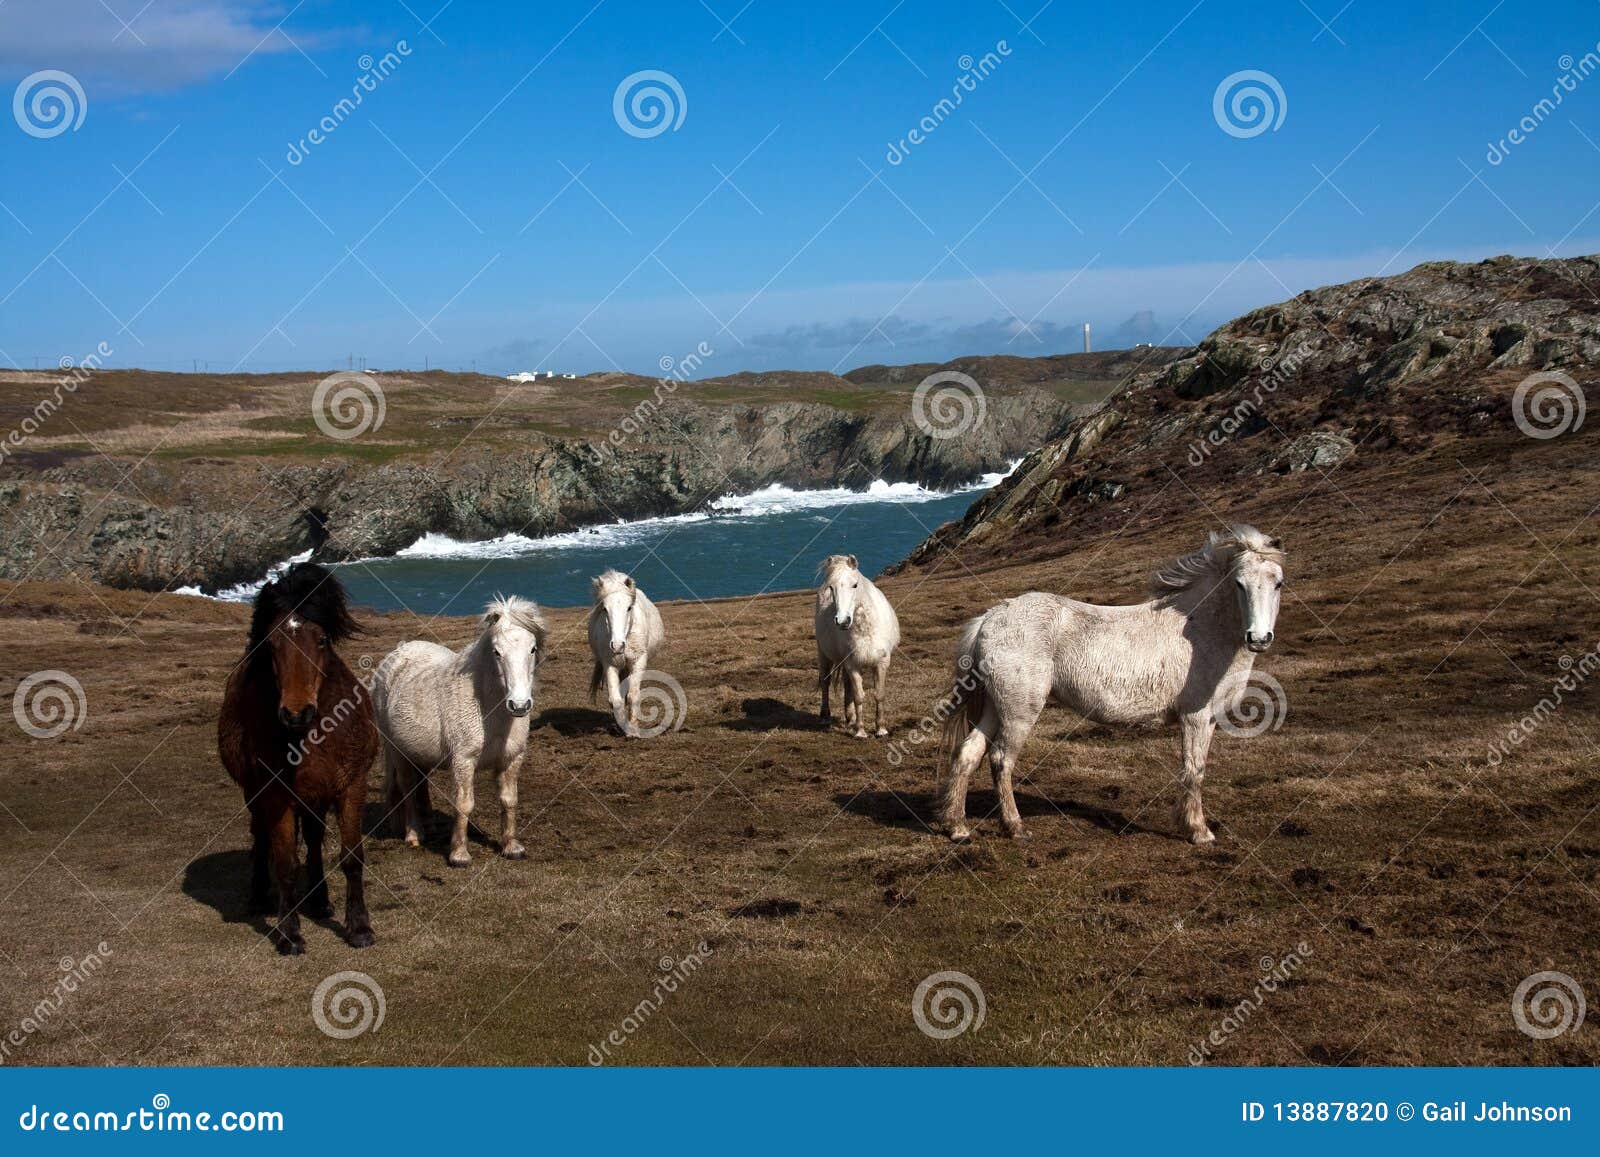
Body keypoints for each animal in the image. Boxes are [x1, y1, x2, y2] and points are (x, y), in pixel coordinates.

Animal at [217, 562, 381, 955]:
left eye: (320, 640)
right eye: (272, 643)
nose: (296, 713)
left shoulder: (351, 786)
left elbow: (352, 857)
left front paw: (359, 927)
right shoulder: (277, 795)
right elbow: (286, 864)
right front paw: (289, 933)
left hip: (315, 797)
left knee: (316, 838)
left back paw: (320, 901)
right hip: (256, 793)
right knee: (261, 836)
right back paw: (259, 896)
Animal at [375, 596, 548, 867]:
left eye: (532, 649)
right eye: (497, 652)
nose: (519, 705)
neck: (489, 709)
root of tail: (395, 656)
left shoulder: (512, 759)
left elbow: (509, 800)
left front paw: (512, 847)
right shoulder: (463, 761)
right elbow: (464, 804)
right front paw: (459, 855)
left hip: (418, 752)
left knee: (420, 784)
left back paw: (429, 827)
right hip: (397, 751)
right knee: (407, 787)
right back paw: (414, 834)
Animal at [587, 569, 666, 736]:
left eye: (629, 607)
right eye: (604, 609)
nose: (617, 646)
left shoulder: (638, 662)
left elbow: (633, 696)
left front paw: (633, 730)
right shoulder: (609, 664)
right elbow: (616, 699)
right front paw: (622, 725)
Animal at [814, 553, 901, 738]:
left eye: (855, 585)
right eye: (832, 588)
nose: (843, 621)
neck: (867, 630)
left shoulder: (882, 662)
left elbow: (879, 695)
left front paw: (881, 729)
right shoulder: (852, 664)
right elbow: (859, 696)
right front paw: (860, 731)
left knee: (847, 686)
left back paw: (850, 719)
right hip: (823, 654)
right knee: (825, 682)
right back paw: (825, 717)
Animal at [937, 525, 1284, 844]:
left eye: (1278, 583)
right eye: (1239, 583)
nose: (1259, 638)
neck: (1201, 630)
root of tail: (990, 618)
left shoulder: (1209, 719)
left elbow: (1196, 768)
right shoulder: (1195, 718)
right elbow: (1194, 769)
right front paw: (1199, 831)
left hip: (995, 708)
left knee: (968, 754)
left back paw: (957, 827)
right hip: (1019, 711)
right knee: (1001, 760)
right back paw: (1015, 827)